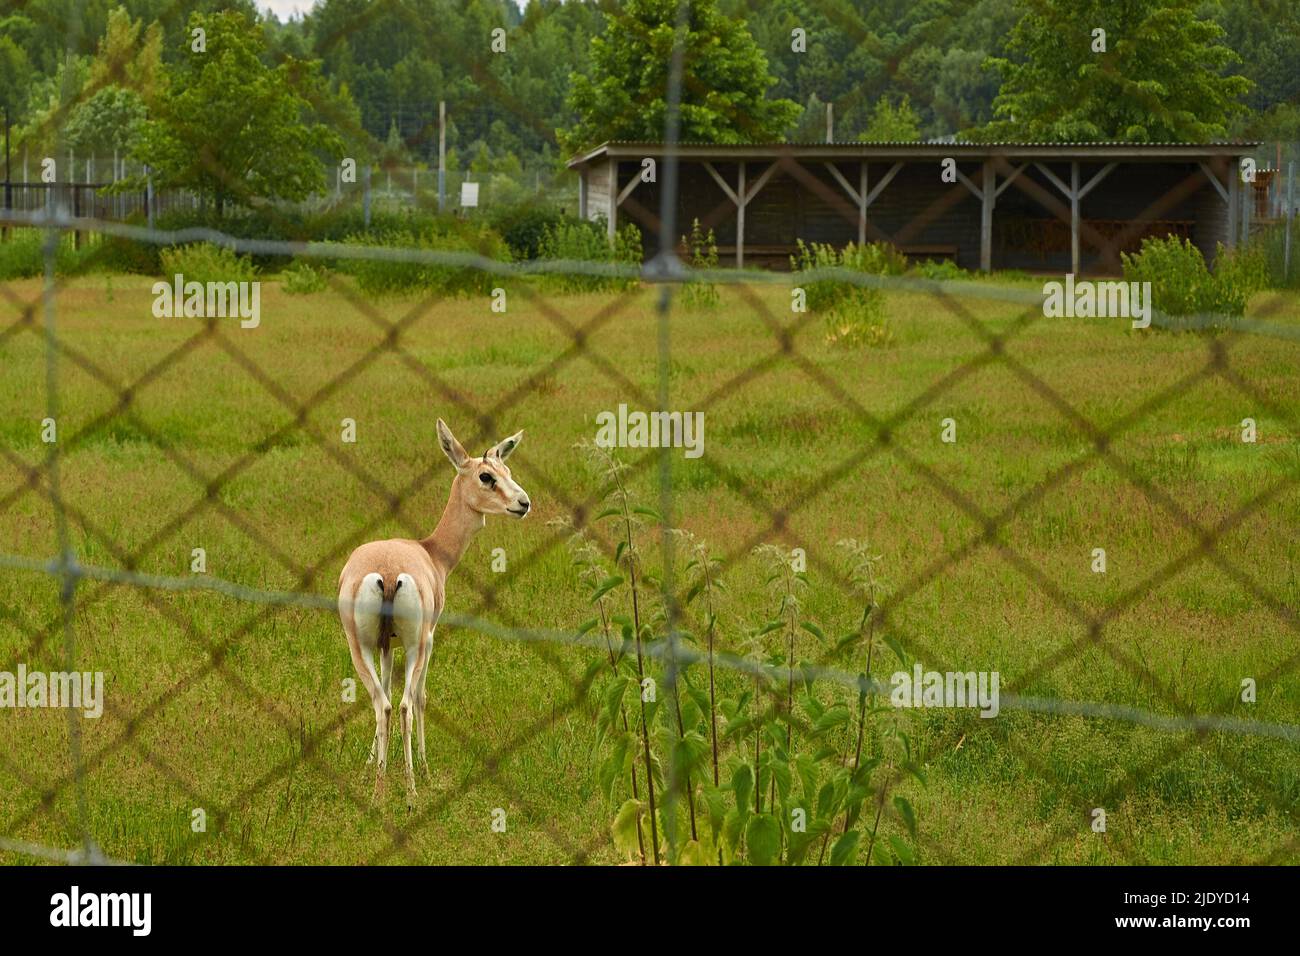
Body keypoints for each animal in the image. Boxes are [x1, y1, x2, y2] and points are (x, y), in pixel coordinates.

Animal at [337, 418, 530, 800]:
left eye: (508, 470)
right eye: (486, 475)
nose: (524, 503)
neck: (432, 552)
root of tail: (388, 571)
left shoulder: (386, 645)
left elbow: (387, 686)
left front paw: (369, 765)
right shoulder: (430, 638)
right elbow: (421, 696)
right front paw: (425, 771)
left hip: (360, 647)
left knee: (382, 703)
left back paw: (379, 790)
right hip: (416, 646)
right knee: (406, 704)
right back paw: (412, 789)